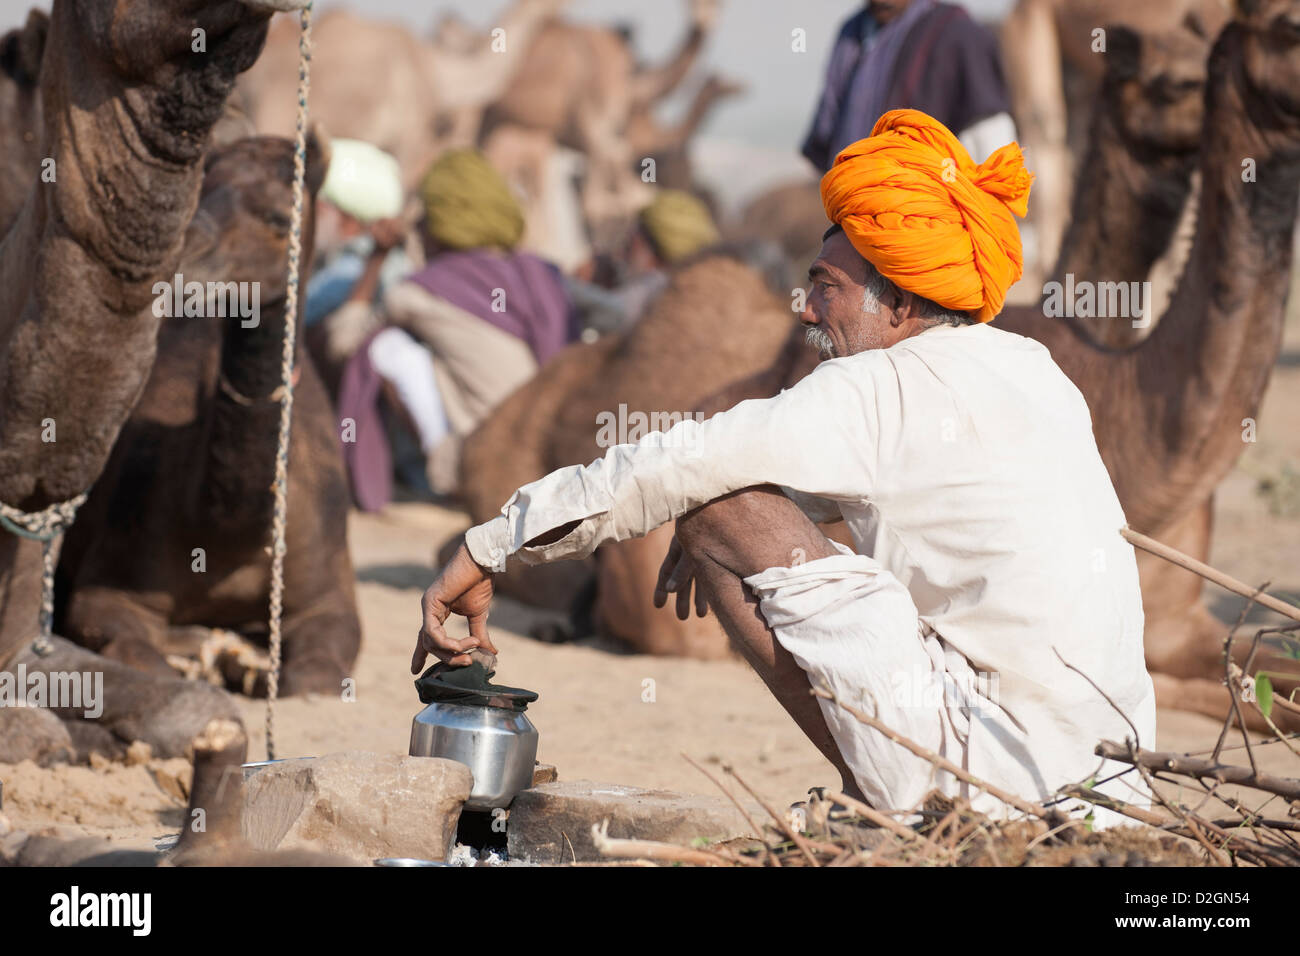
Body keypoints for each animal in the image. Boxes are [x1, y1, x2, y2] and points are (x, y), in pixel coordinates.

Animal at [54, 133, 362, 700]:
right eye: (201, 193)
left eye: (280, 218)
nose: (179, 262)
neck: (231, 536)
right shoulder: (109, 588)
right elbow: (138, 653)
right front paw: (204, 654)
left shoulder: (330, 599)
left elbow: (312, 677)